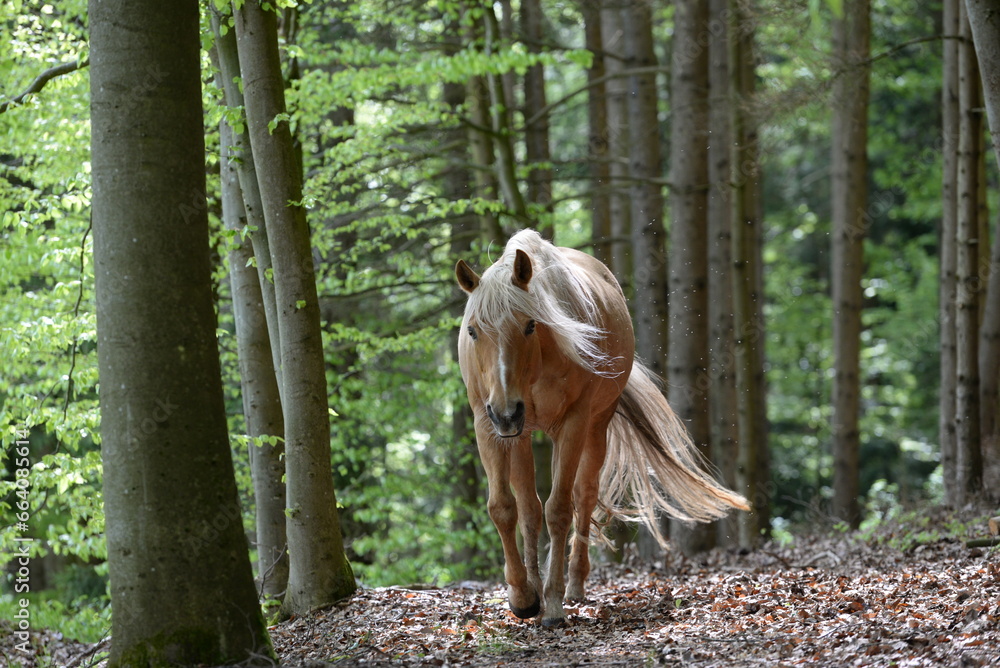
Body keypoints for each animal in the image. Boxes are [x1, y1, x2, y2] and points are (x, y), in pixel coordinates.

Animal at [455, 229, 749, 627]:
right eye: (473, 331)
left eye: (530, 325)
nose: (505, 412)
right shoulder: (489, 425)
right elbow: (504, 507)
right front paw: (523, 597)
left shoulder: (574, 422)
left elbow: (559, 509)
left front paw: (552, 604)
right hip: (521, 433)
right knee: (529, 507)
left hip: (594, 428)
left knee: (583, 496)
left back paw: (574, 587)